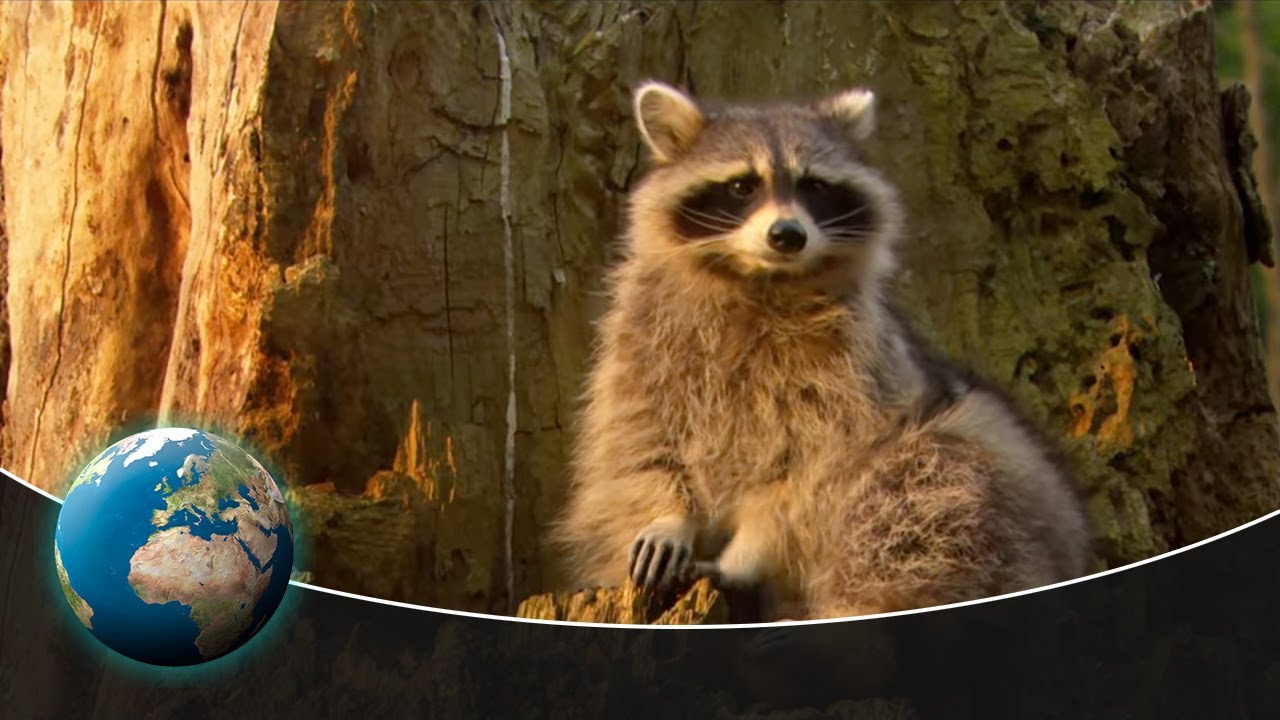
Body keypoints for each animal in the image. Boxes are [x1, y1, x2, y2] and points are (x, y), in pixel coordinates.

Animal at [552, 81, 1090, 621]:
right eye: (743, 186)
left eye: (813, 185)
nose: (788, 235)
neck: (762, 281)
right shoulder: (640, 347)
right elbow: (640, 446)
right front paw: (667, 519)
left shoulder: (855, 377)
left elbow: (806, 481)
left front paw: (741, 557)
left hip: (996, 476)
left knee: (918, 487)